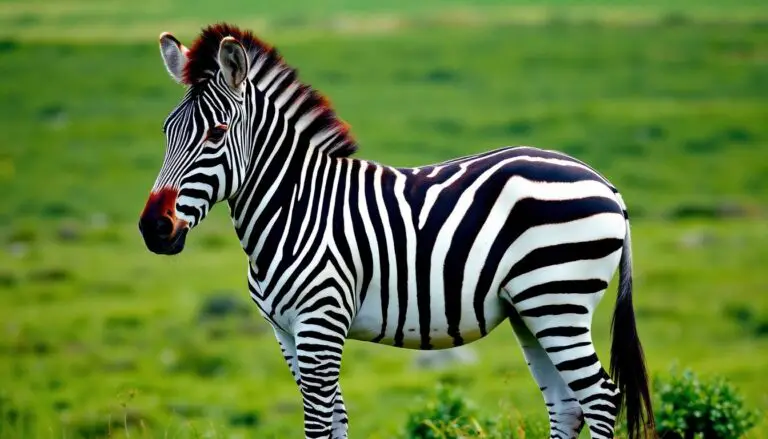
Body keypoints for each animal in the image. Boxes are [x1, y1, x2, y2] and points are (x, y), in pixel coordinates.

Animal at [139, 23, 656, 439]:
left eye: (216, 134)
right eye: (165, 132)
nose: (153, 228)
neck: (294, 206)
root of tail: (604, 182)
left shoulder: (321, 321)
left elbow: (318, 422)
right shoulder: (285, 331)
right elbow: (336, 419)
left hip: (557, 299)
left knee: (601, 398)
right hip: (531, 310)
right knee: (567, 405)